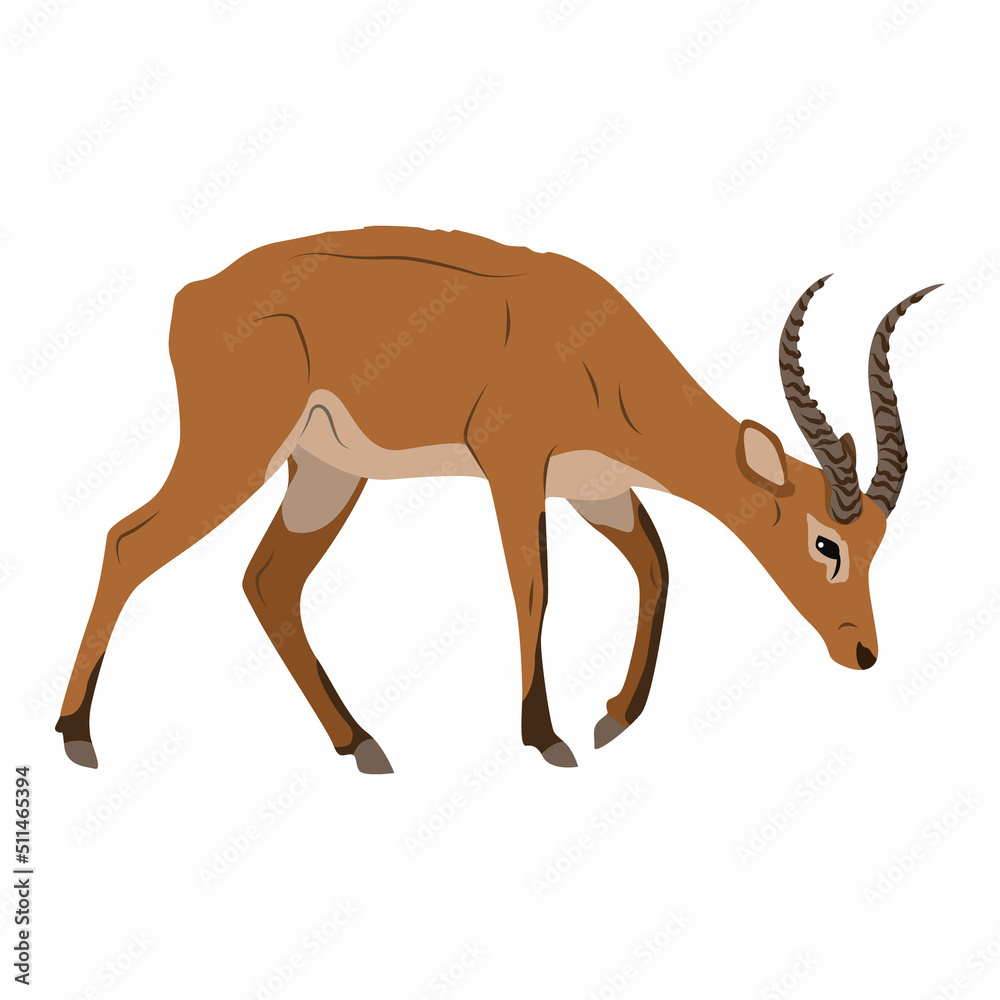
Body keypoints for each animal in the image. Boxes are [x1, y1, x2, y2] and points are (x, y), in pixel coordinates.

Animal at [56, 227, 939, 773]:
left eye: (878, 546)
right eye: (826, 542)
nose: (864, 653)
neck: (598, 356)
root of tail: (193, 295)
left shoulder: (598, 487)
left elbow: (656, 567)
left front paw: (613, 718)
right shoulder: (514, 467)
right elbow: (535, 585)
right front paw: (546, 739)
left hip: (324, 474)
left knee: (269, 580)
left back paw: (362, 745)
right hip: (236, 454)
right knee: (128, 540)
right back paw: (74, 736)